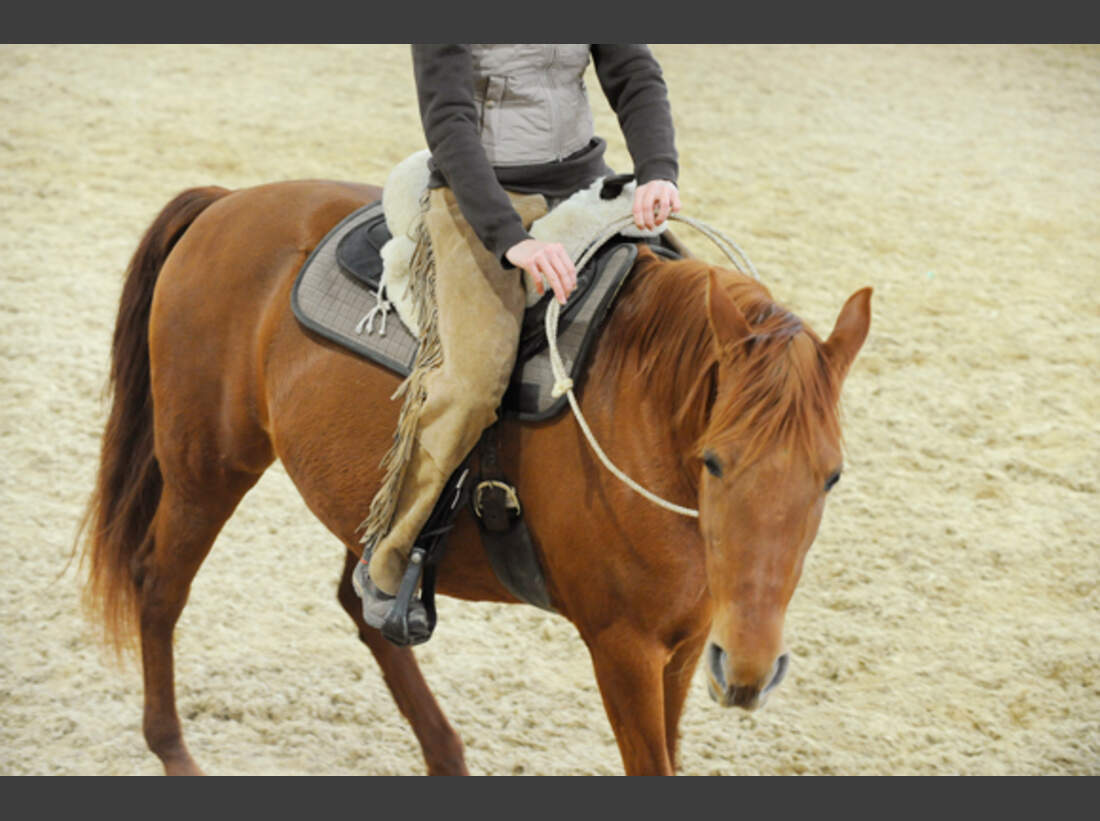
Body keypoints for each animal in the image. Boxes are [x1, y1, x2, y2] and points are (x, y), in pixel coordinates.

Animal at [79, 179, 871, 776]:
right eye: (715, 460)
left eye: (831, 477)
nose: (750, 668)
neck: (639, 403)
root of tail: (226, 203)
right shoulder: (623, 649)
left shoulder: (685, 646)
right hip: (206, 468)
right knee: (158, 583)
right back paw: (173, 751)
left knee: (363, 608)